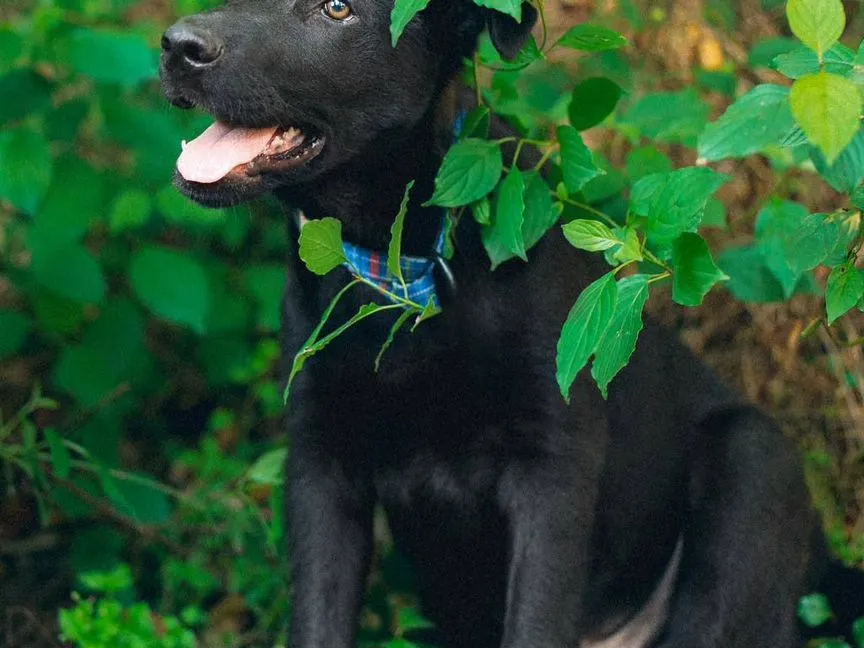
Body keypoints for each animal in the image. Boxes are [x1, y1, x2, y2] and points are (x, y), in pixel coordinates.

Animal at [162, 2, 844, 644]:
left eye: (337, 8)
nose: (176, 46)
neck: (399, 273)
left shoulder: (552, 465)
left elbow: (535, 623)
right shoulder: (320, 463)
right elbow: (317, 623)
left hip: (754, 465)